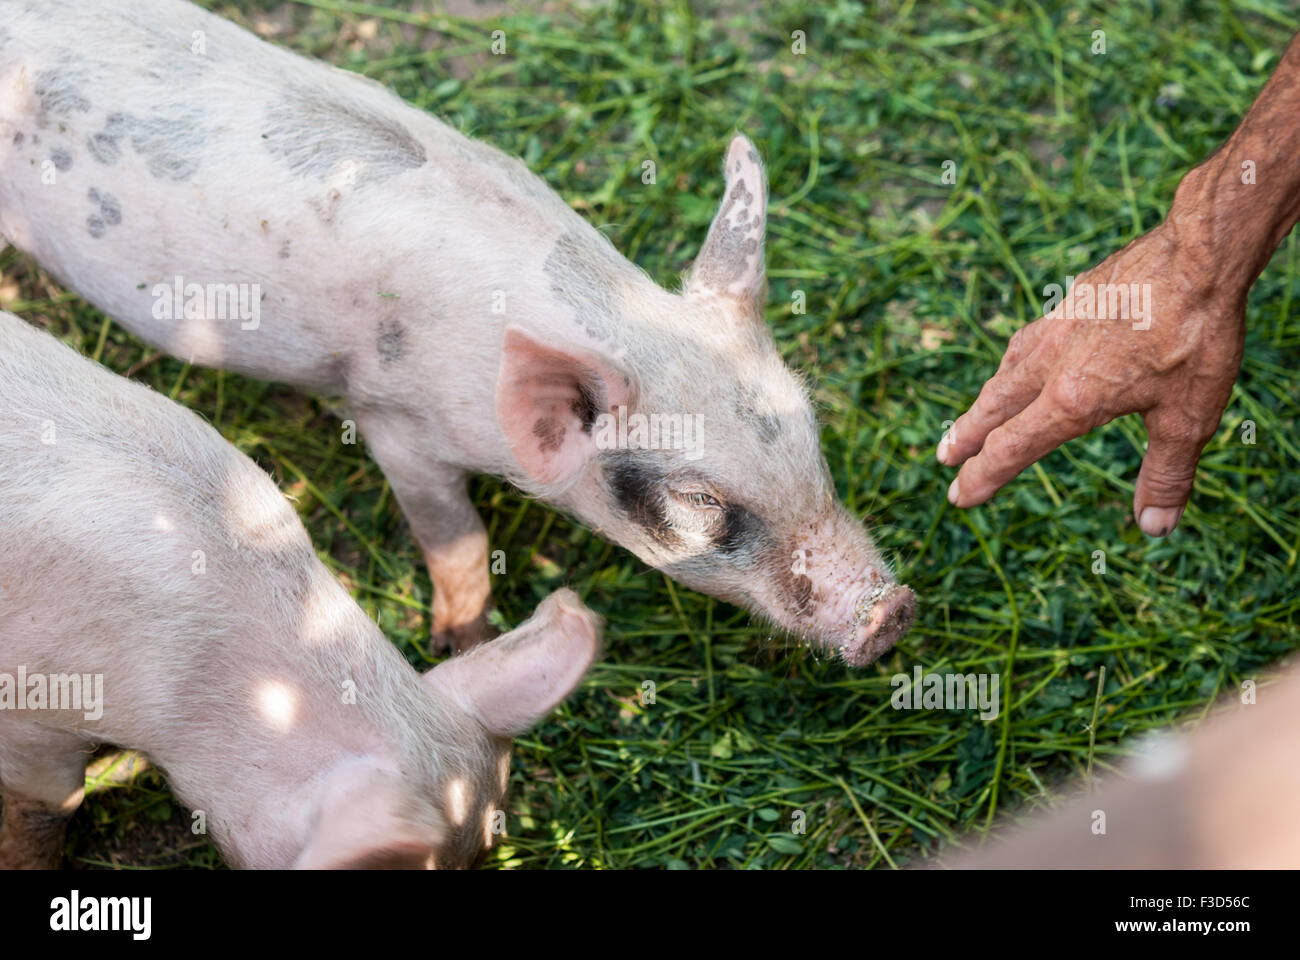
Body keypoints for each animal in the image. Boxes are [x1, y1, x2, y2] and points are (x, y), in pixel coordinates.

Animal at [0, 0, 916, 665]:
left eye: (811, 430)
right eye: (701, 501)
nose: (895, 610)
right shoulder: (392, 419)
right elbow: (457, 536)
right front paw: (460, 643)